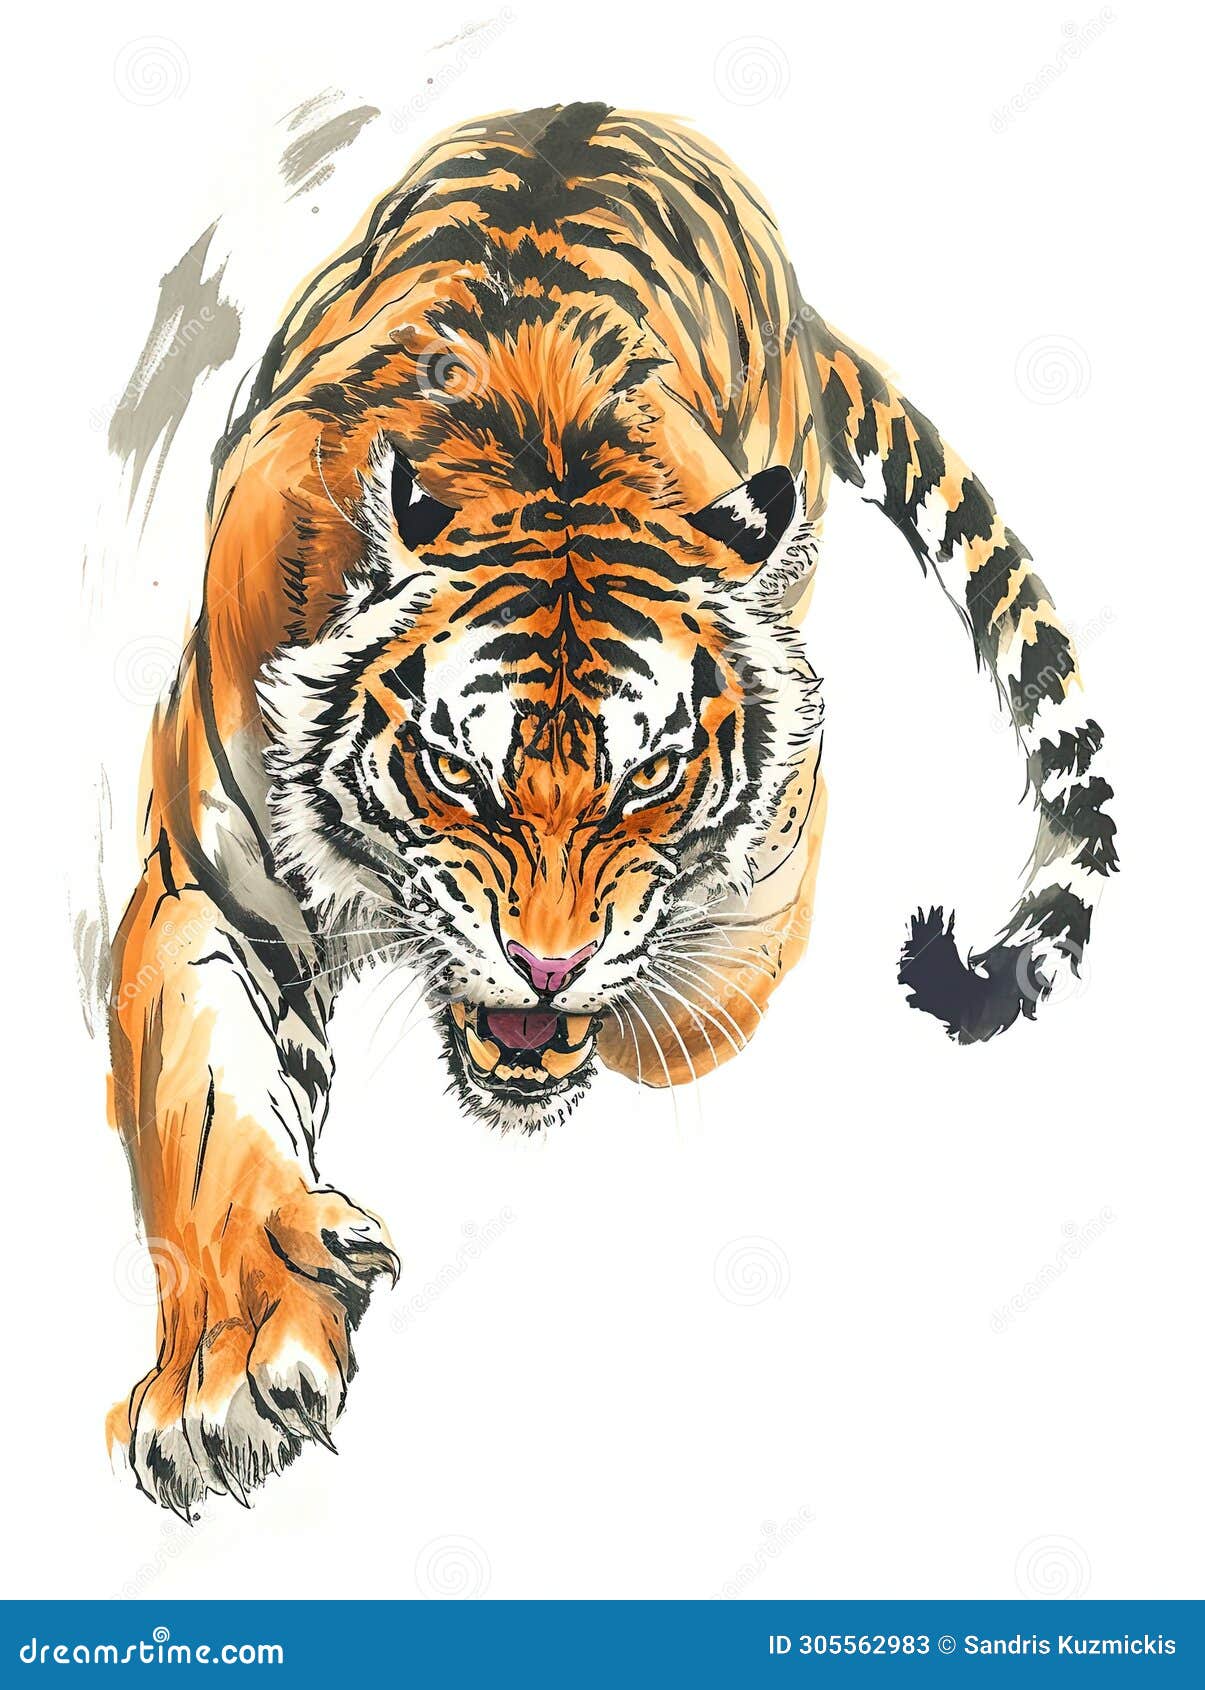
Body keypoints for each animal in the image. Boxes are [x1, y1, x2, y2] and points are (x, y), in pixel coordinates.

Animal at [107, 101, 1117, 1516]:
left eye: (646, 777)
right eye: (455, 771)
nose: (546, 966)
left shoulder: (770, 867)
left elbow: (685, 1012)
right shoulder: (211, 881)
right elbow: (197, 1106)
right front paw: (231, 1372)